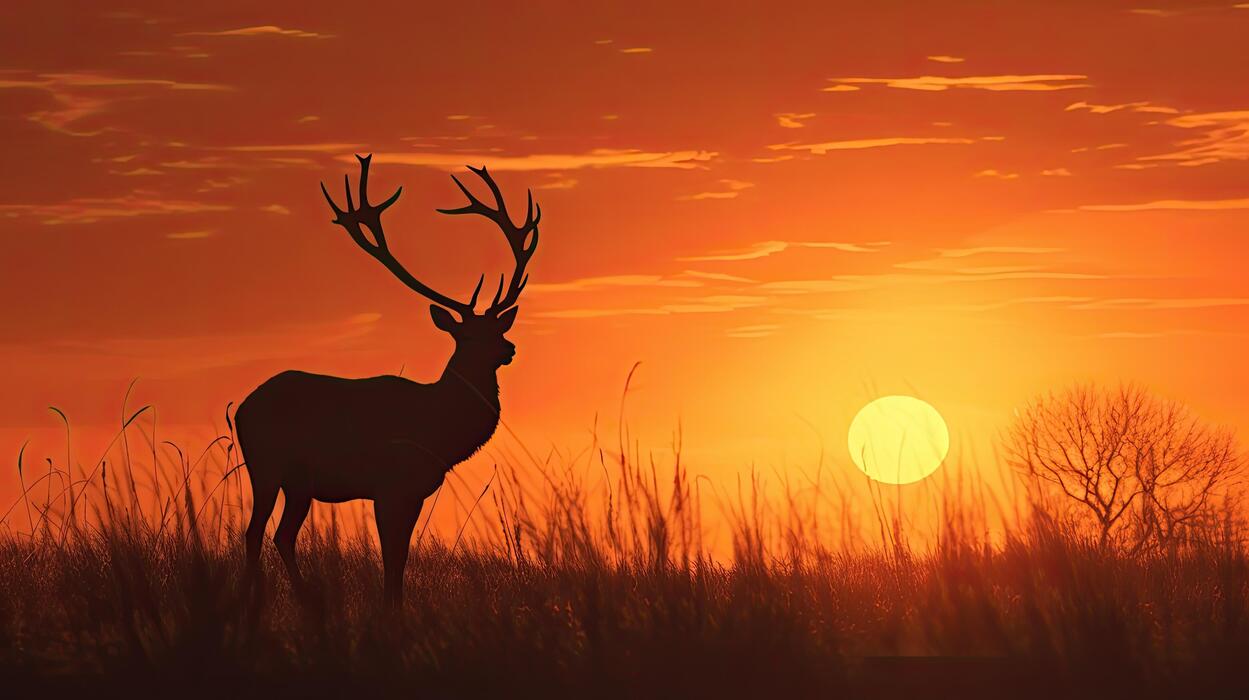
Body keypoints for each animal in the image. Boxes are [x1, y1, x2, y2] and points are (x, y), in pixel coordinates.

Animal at [234, 154, 539, 605]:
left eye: (498, 330)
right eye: (467, 336)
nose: (510, 349)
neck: (439, 433)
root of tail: (241, 407)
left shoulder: (414, 492)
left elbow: (402, 558)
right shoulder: (389, 483)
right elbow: (390, 557)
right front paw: (389, 610)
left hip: (299, 483)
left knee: (282, 536)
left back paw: (307, 601)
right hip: (266, 464)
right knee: (255, 533)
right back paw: (255, 599)